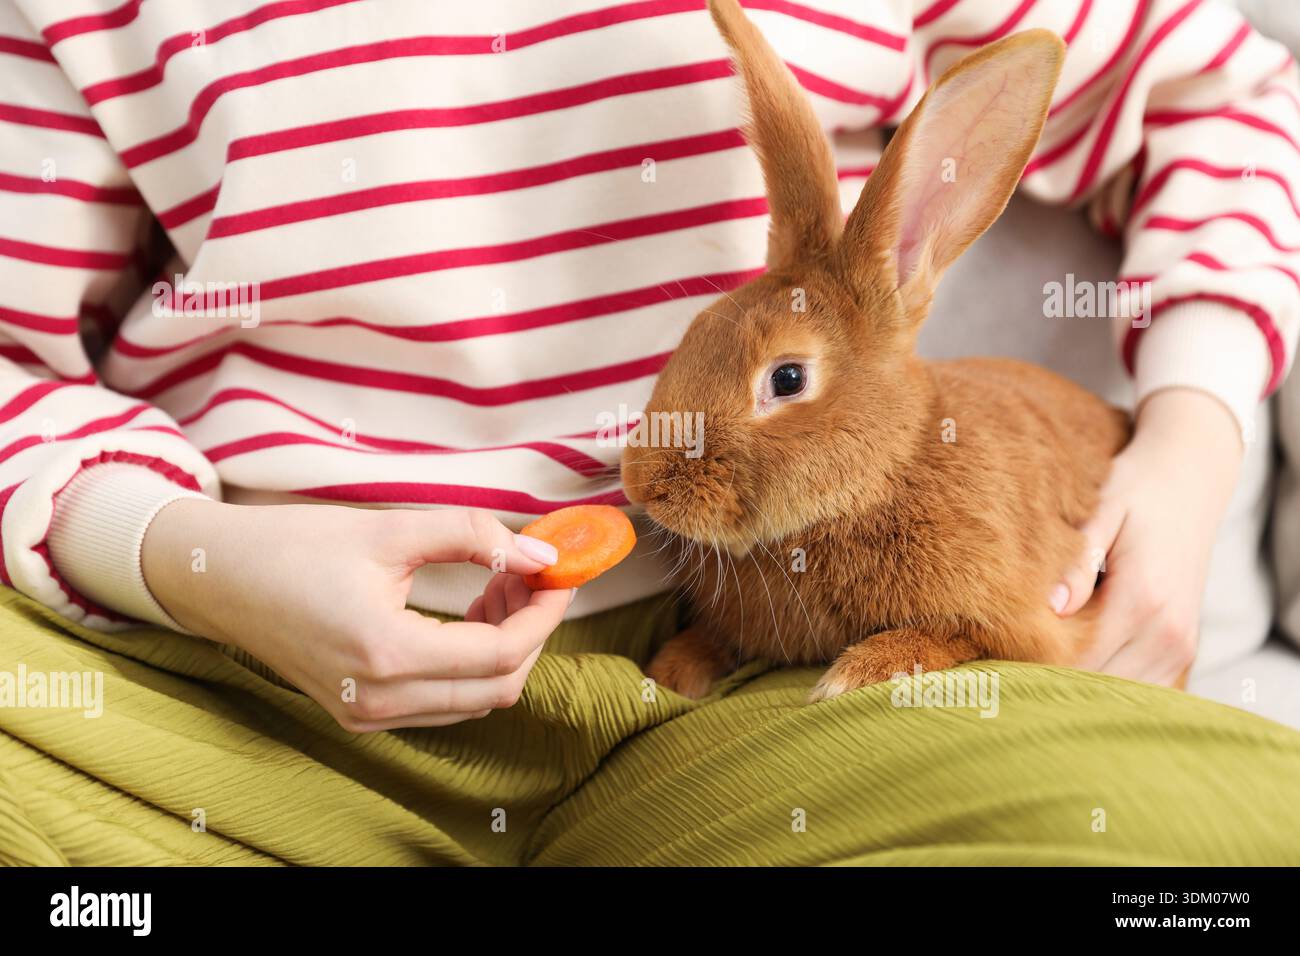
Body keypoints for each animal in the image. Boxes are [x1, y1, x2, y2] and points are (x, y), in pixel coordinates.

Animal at [620, 0, 1139, 703]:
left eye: (788, 378)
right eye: (695, 329)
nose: (640, 482)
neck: (886, 471)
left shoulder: (1021, 618)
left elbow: (956, 638)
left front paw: (857, 672)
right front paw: (675, 670)